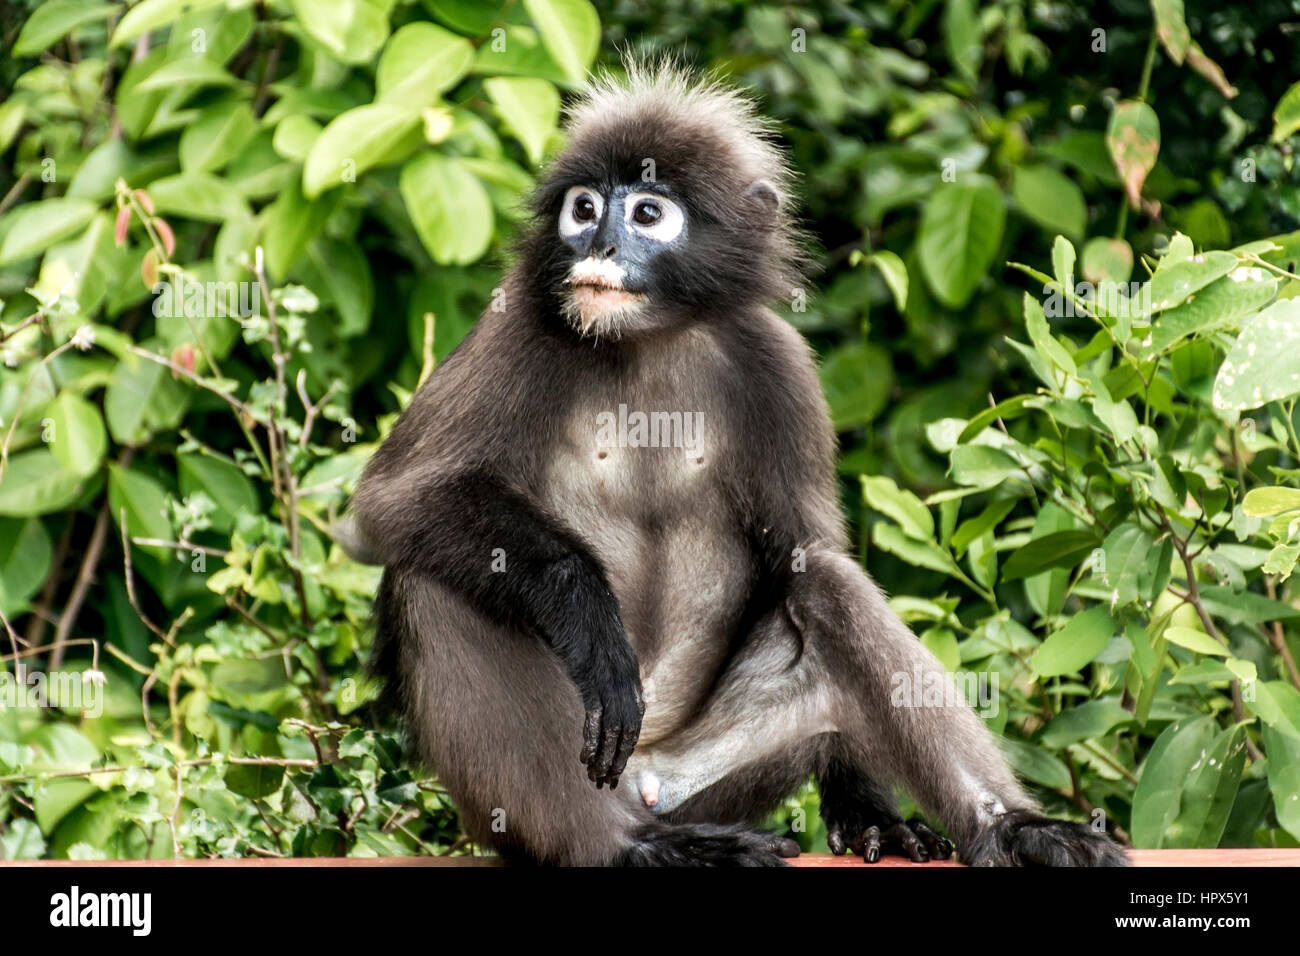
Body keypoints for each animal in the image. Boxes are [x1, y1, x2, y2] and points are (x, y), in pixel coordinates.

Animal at [346, 63, 1128, 867]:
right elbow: (393, 501)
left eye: (648, 214)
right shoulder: (520, 327)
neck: (647, 340)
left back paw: (1012, 829)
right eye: (584, 208)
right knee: (433, 583)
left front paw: (867, 809)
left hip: (706, 775)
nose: (599, 247)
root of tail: (646, 784)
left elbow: (805, 551)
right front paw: (588, 616)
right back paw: (632, 847)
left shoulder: (777, 360)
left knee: (829, 585)